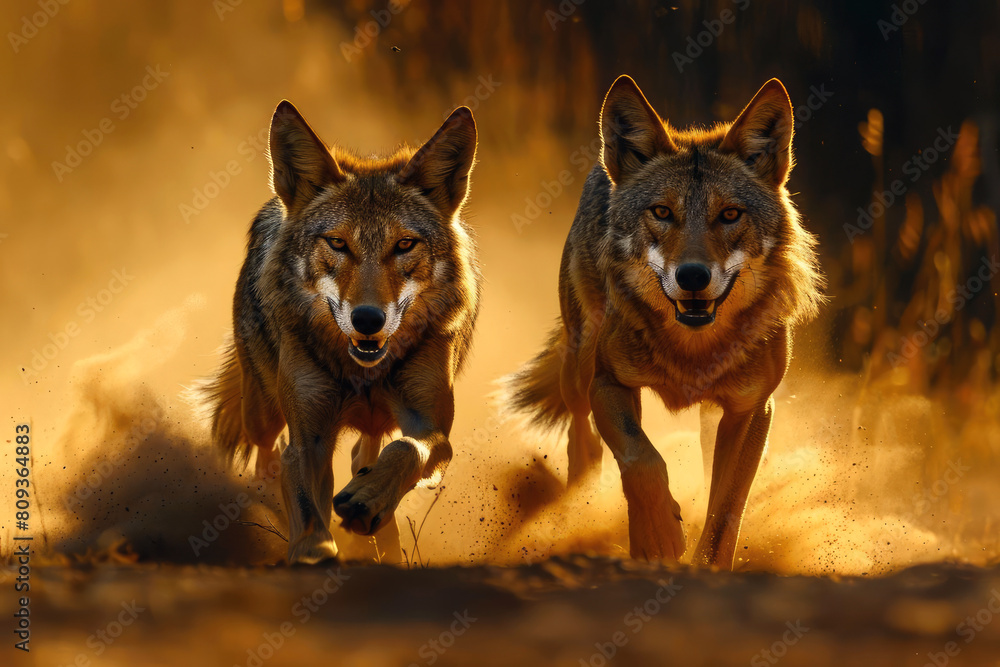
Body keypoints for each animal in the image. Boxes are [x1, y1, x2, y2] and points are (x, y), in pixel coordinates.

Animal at [202, 100, 481, 564]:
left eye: (404, 245)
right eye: (337, 243)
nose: (368, 319)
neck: (362, 374)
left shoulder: (435, 431)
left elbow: (407, 449)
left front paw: (367, 501)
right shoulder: (308, 438)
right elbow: (306, 505)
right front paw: (312, 548)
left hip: (374, 423)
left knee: (362, 455)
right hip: (261, 411)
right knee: (267, 459)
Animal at [506, 76, 823, 569]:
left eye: (730, 214)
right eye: (661, 212)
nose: (692, 276)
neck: (692, 350)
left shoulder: (752, 409)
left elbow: (726, 506)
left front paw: (705, 564)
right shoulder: (609, 382)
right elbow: (642, 460)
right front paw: (657, 540)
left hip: (713, 417)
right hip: (578, 368)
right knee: (582, 440)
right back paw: (579, 510)